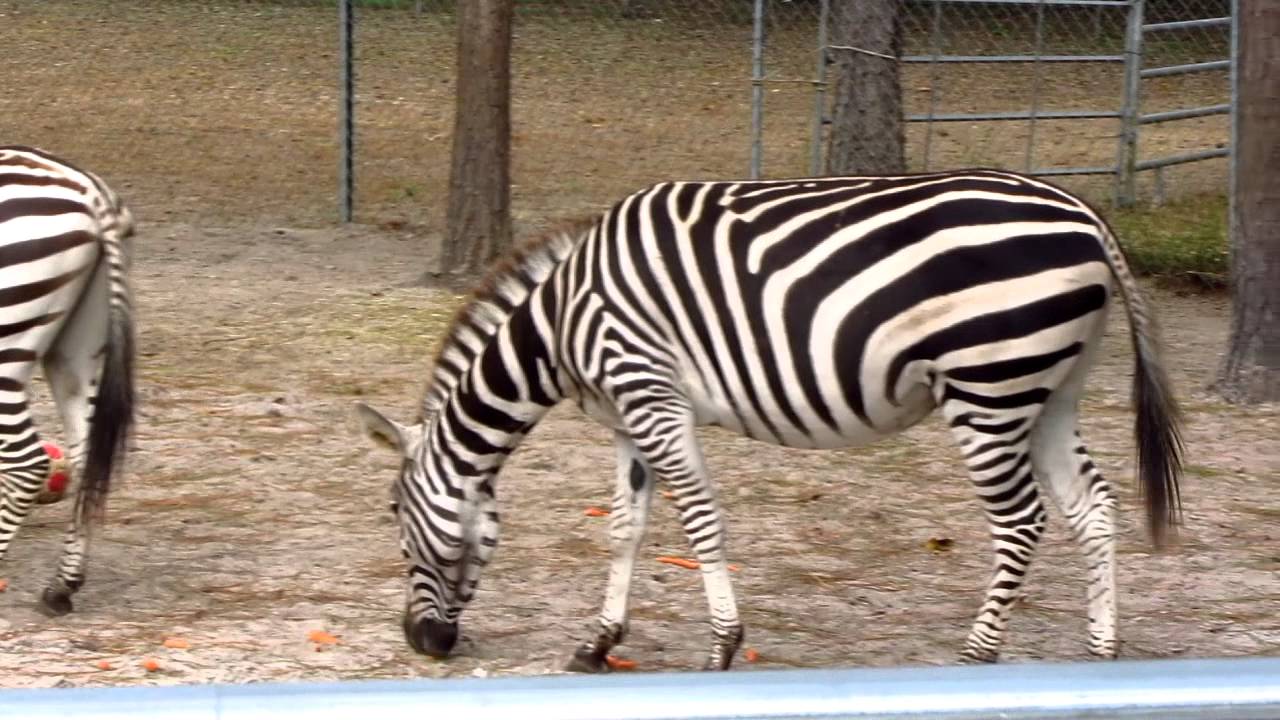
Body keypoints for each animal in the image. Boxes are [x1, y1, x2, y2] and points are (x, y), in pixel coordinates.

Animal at [355, 169, 1183, 671]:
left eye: (394, 514)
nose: (421, 643)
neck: (562, 319)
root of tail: (1081, 212)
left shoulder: (651, 395)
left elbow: (699, 522)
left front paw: (723, 646)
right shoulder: (628, 417)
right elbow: (625, 528)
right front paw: (599, 641)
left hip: (988, 386)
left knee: (1021, 522)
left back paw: (976, 658)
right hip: (1048, 388)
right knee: (1092, 506)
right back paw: (1100, 652)